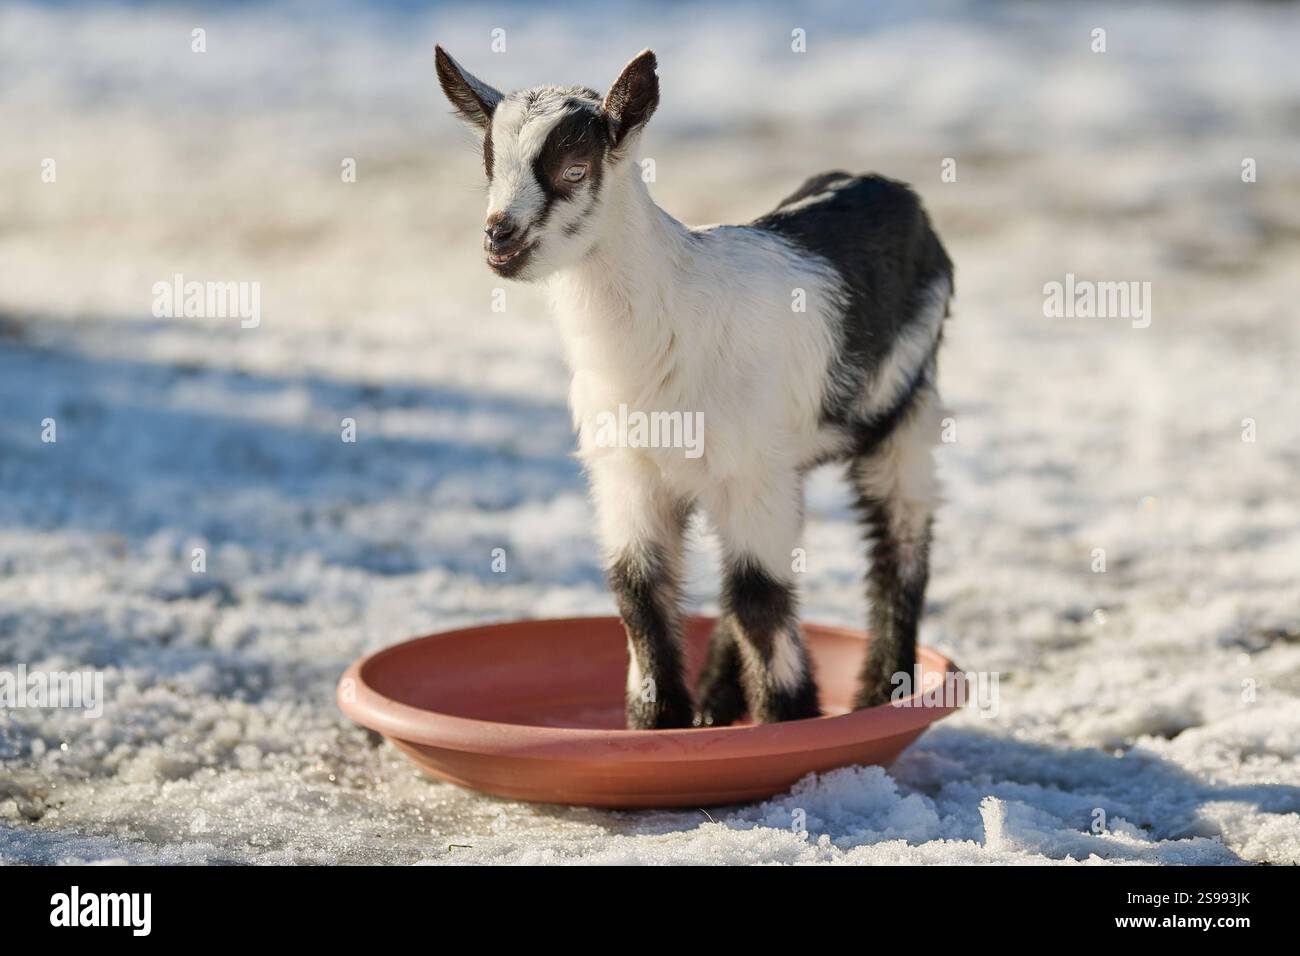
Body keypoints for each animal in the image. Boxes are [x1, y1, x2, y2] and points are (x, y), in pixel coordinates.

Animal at [436, 47, 954, 730]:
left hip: (906, 406)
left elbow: (759, 595)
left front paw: (786, 722)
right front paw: (656, 724)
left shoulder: (752, 470)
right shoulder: (630, 473)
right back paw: (713, 703)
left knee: (899, 539)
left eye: (575, 168)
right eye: (490, 165)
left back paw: (880, 693)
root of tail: (890, 187)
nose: (499, 237)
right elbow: (638, 590)